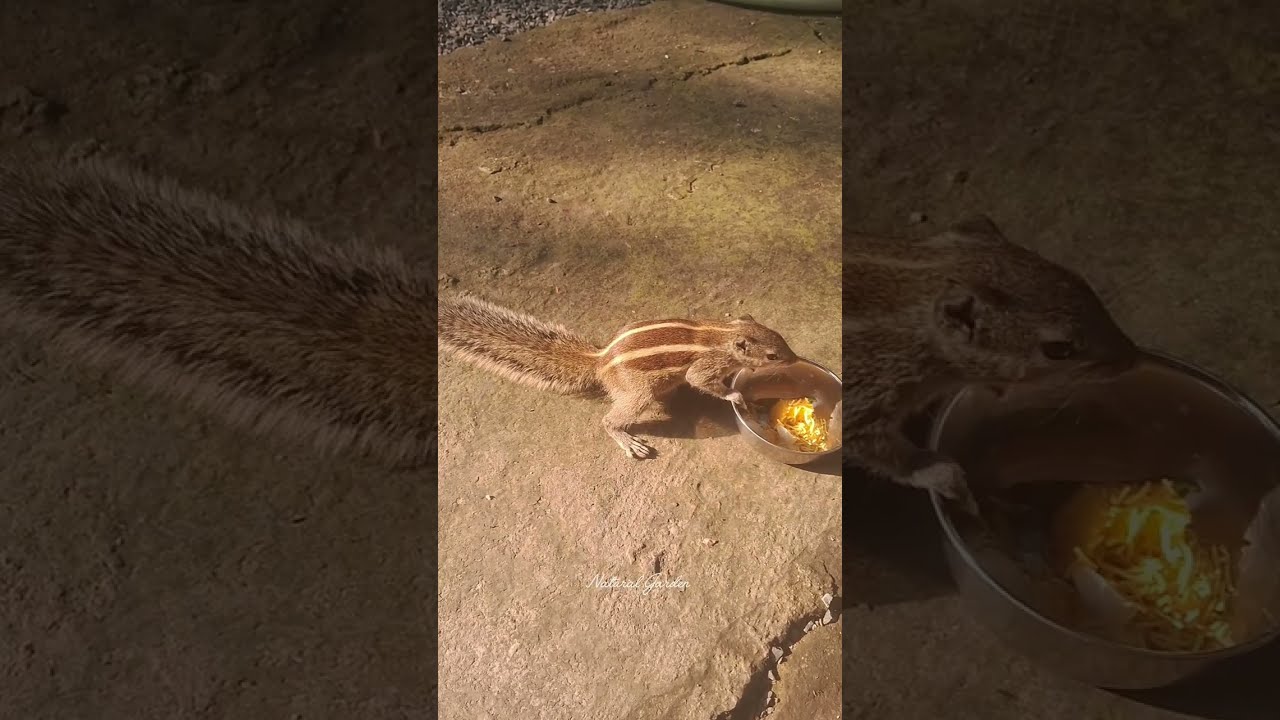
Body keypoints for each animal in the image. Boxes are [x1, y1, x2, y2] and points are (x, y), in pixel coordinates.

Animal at [439, 295, 800, 459]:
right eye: (772, 355)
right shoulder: (705, 366)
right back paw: (627, 439)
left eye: (780, 337)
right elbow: (703, 381)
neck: (724, 334)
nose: (795, 360)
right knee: (610, 420)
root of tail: (600, 362)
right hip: (639, 392)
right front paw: (735, 394)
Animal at [843, 216, 1139, 511]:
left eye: (1081, 281)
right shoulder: (862, 404)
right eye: (1059, 349)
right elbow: (889, 455)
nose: (1134, 357)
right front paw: (950, 480)